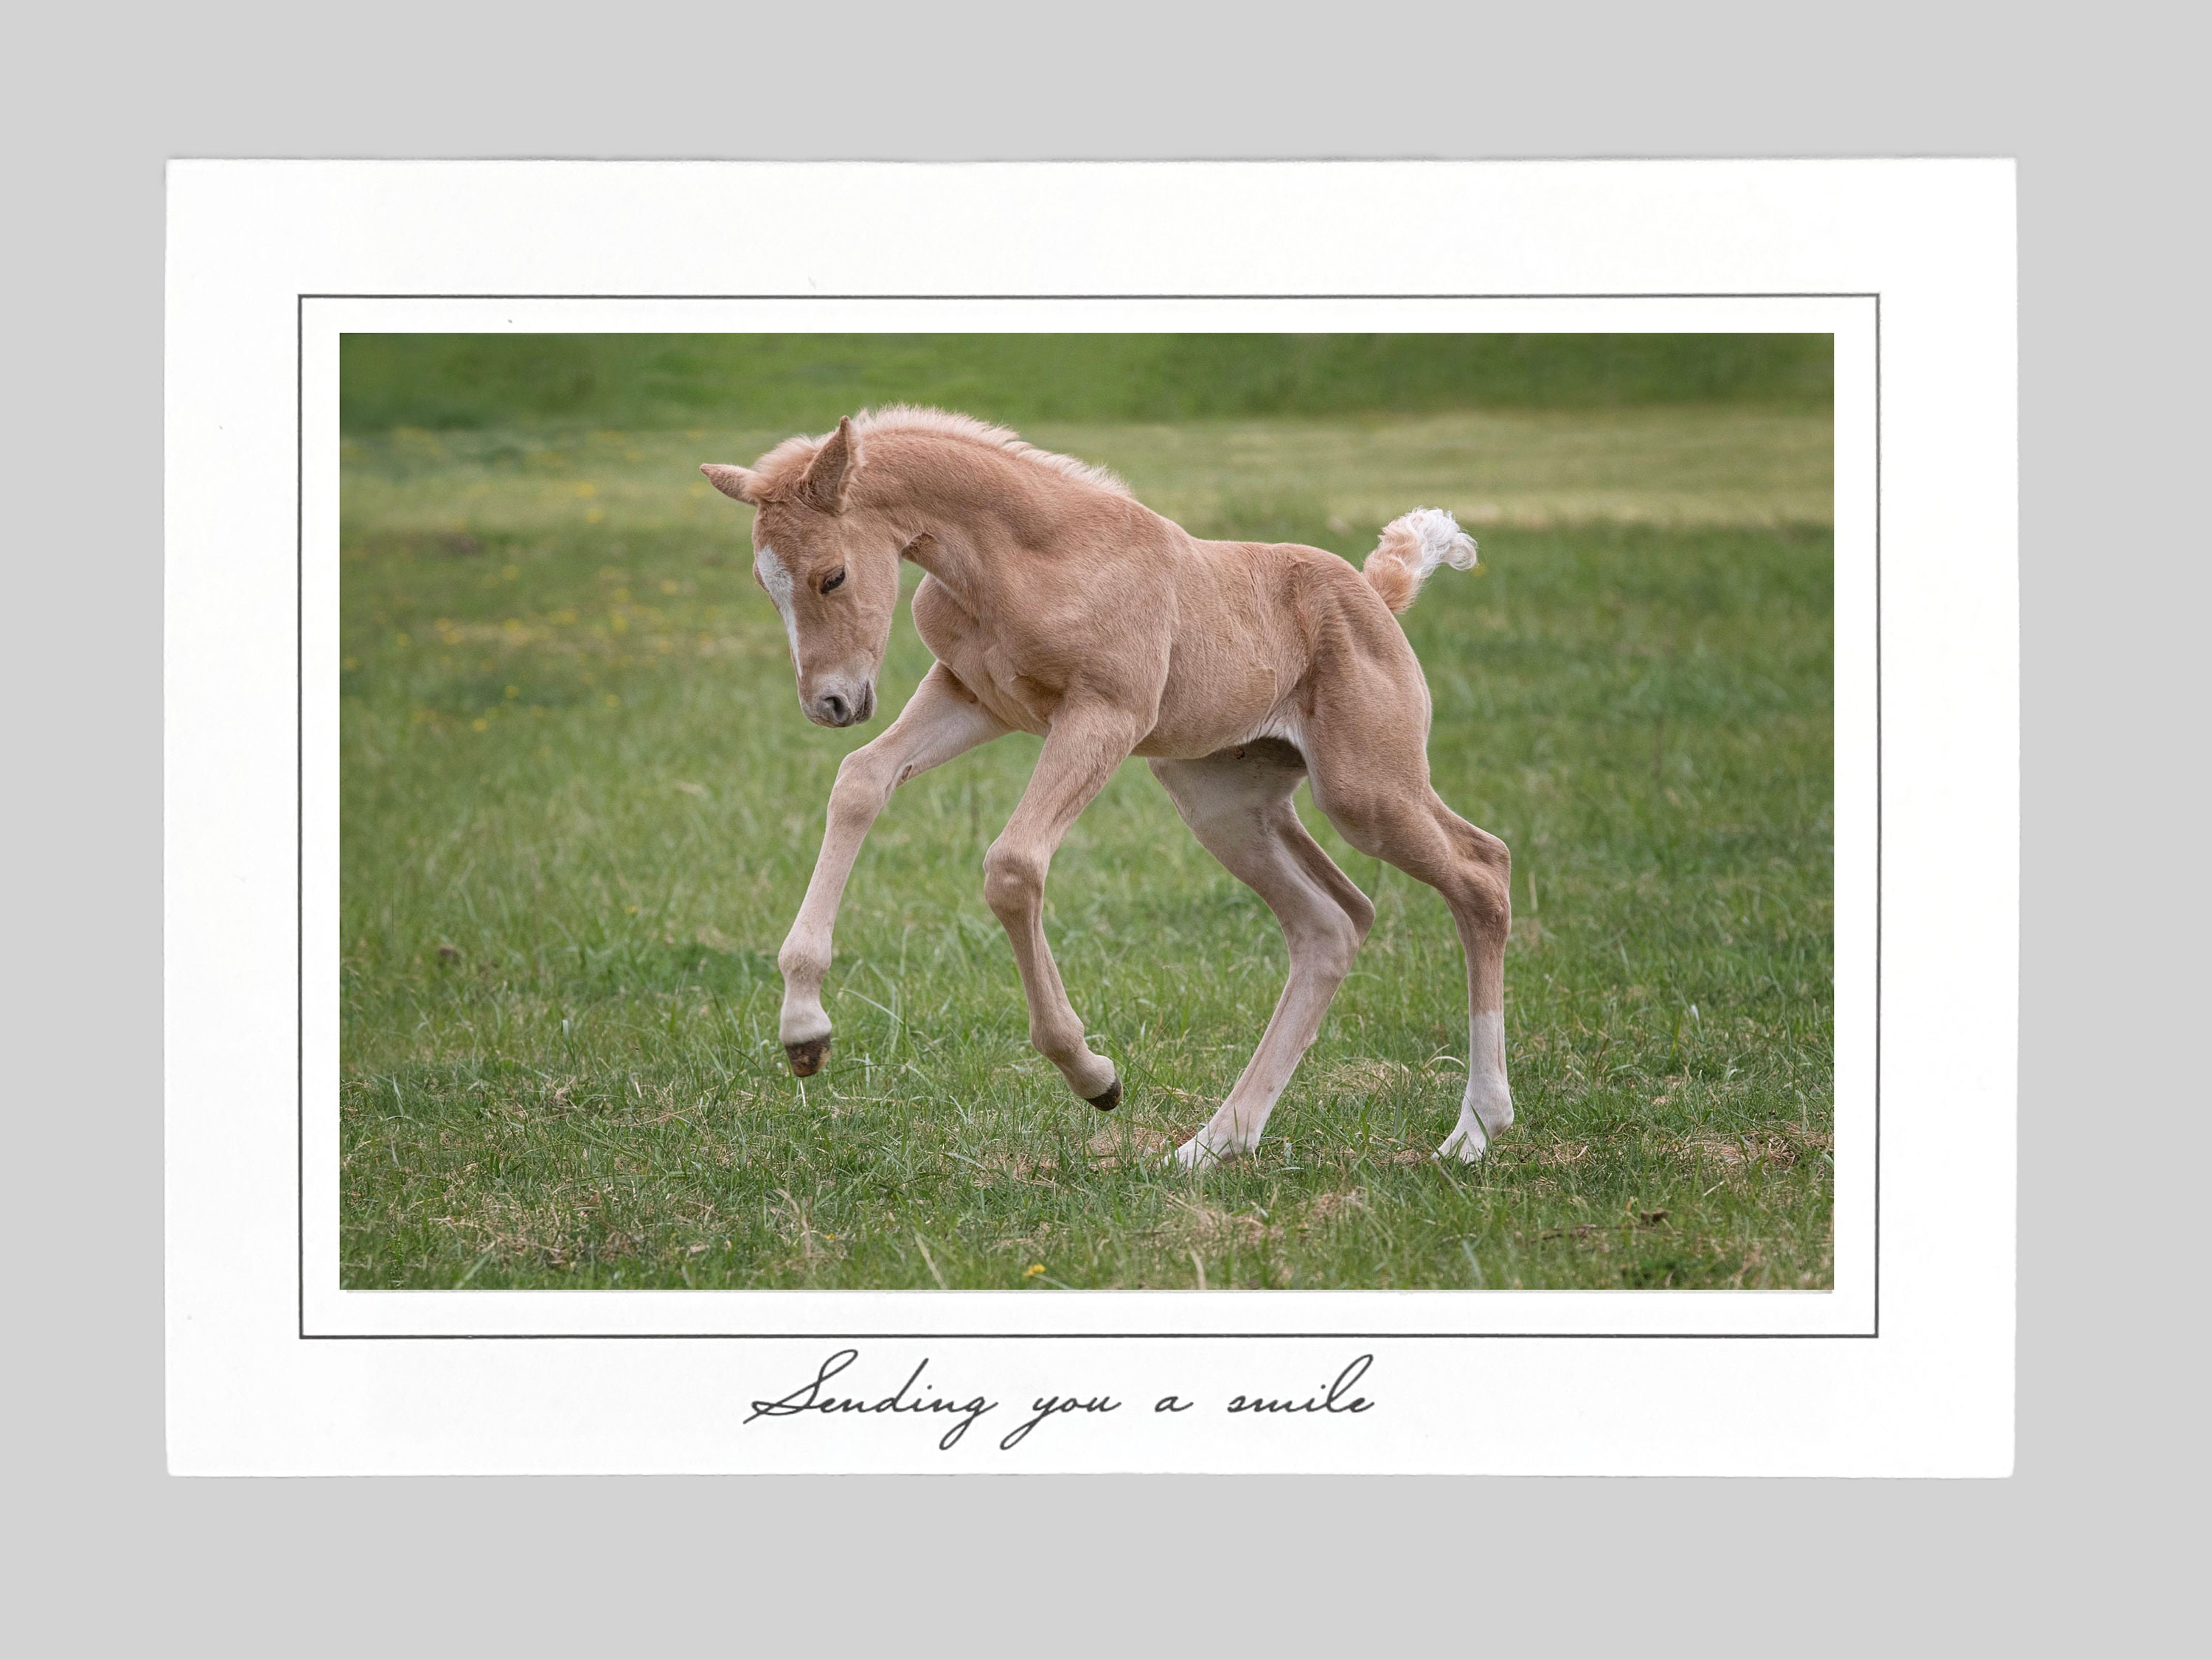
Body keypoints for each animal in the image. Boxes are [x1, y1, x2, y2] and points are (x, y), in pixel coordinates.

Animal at [702, 406, 1512, 1167]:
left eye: (832, 575)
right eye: (764, 583)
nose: (829, 704)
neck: (1025, 558)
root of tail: (1376, 593)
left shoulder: (1105, 714)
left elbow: (1012, 865)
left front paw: (1094, 1075)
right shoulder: (974, 699)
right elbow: (860, 781)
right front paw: (804, 1031)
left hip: (1366, 790)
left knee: (1482, 871)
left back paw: (1474, 1131)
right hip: (1223, 803)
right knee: (1332, 923)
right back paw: (1211, 1147)